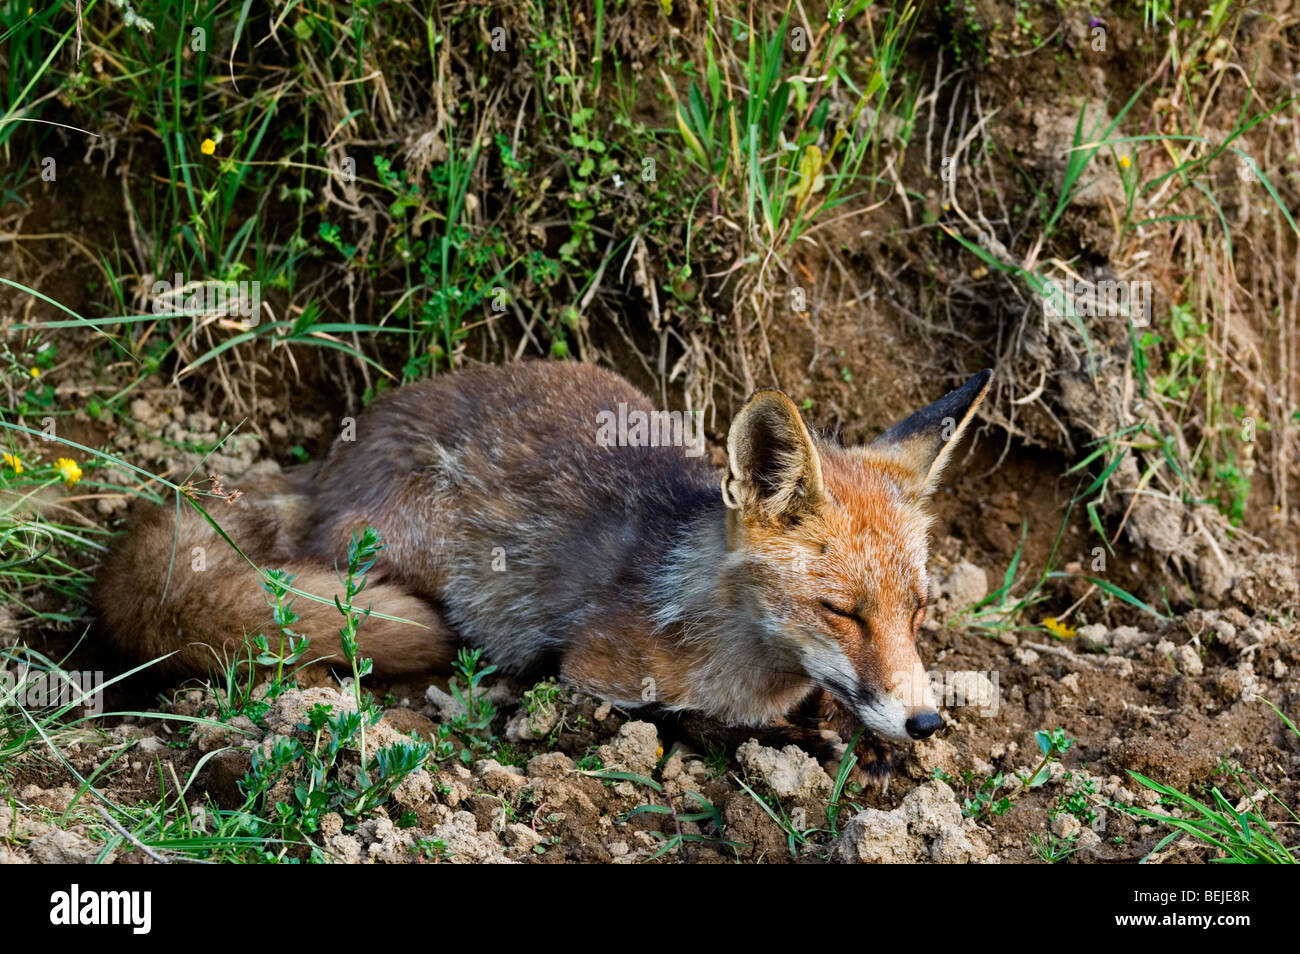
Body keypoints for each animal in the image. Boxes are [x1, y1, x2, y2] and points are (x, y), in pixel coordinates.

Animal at [96, 361, 991, 767]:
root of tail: (336, 455)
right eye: (842, 612)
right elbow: (688, 723)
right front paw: (811, 744)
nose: (927, 724)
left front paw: (859, 737)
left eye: (917, 611)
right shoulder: (592, 675)